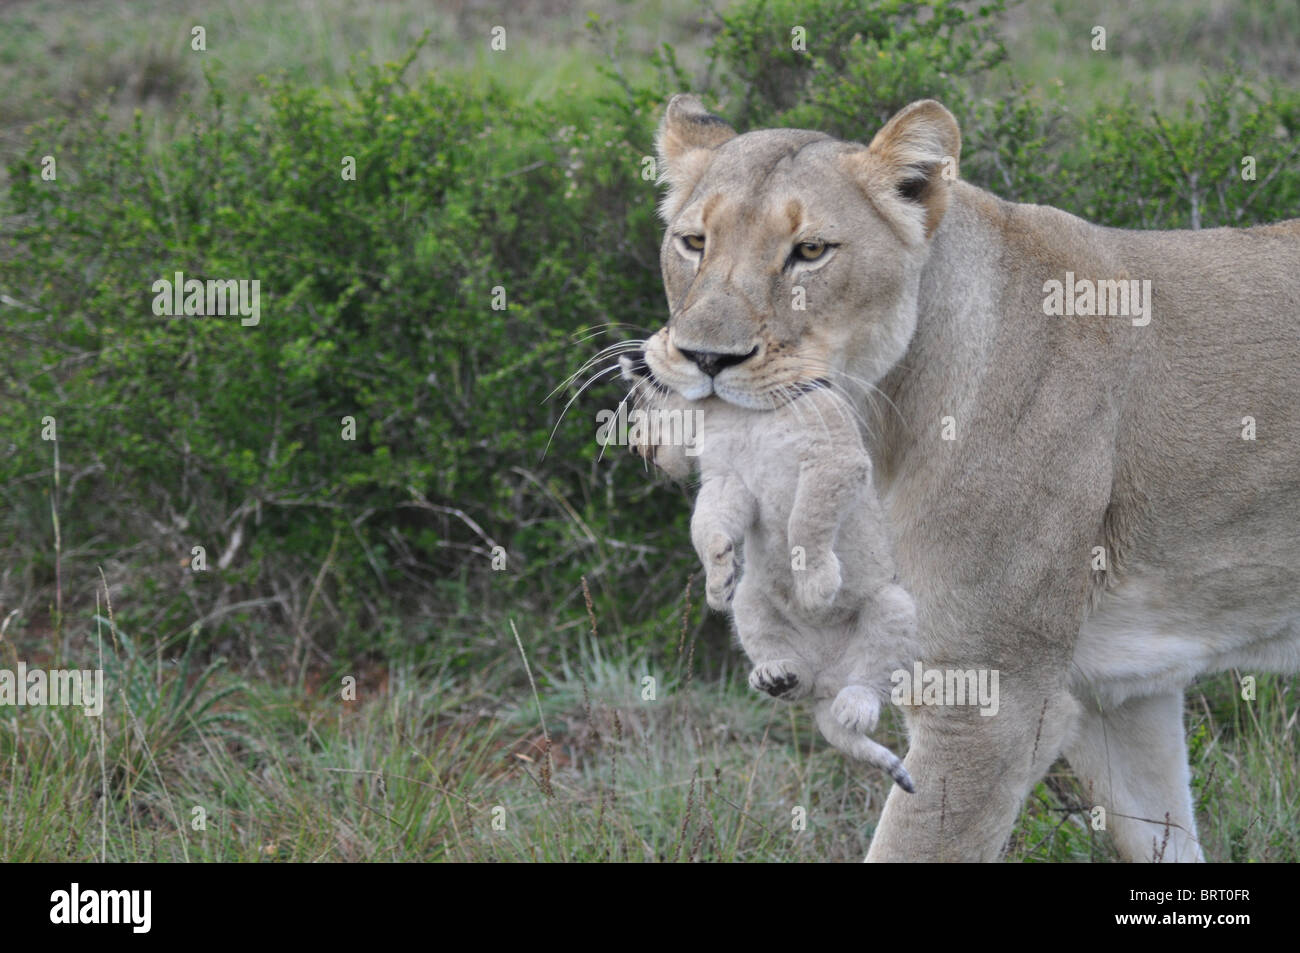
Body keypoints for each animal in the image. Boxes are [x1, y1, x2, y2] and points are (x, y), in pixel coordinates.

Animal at [620, 349, 918, 792]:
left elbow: (806, 520)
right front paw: (717, 577)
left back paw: (855, 704)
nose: (635, 448)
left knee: (872, 674)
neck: (735, 413)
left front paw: (816, 588)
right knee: (796, 676)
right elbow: (706, 522)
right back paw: (777, 676)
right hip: (751, 600)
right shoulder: (728, 477)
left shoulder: (832, 457)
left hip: (893, 603)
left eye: (639, 407)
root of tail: (828, 683)